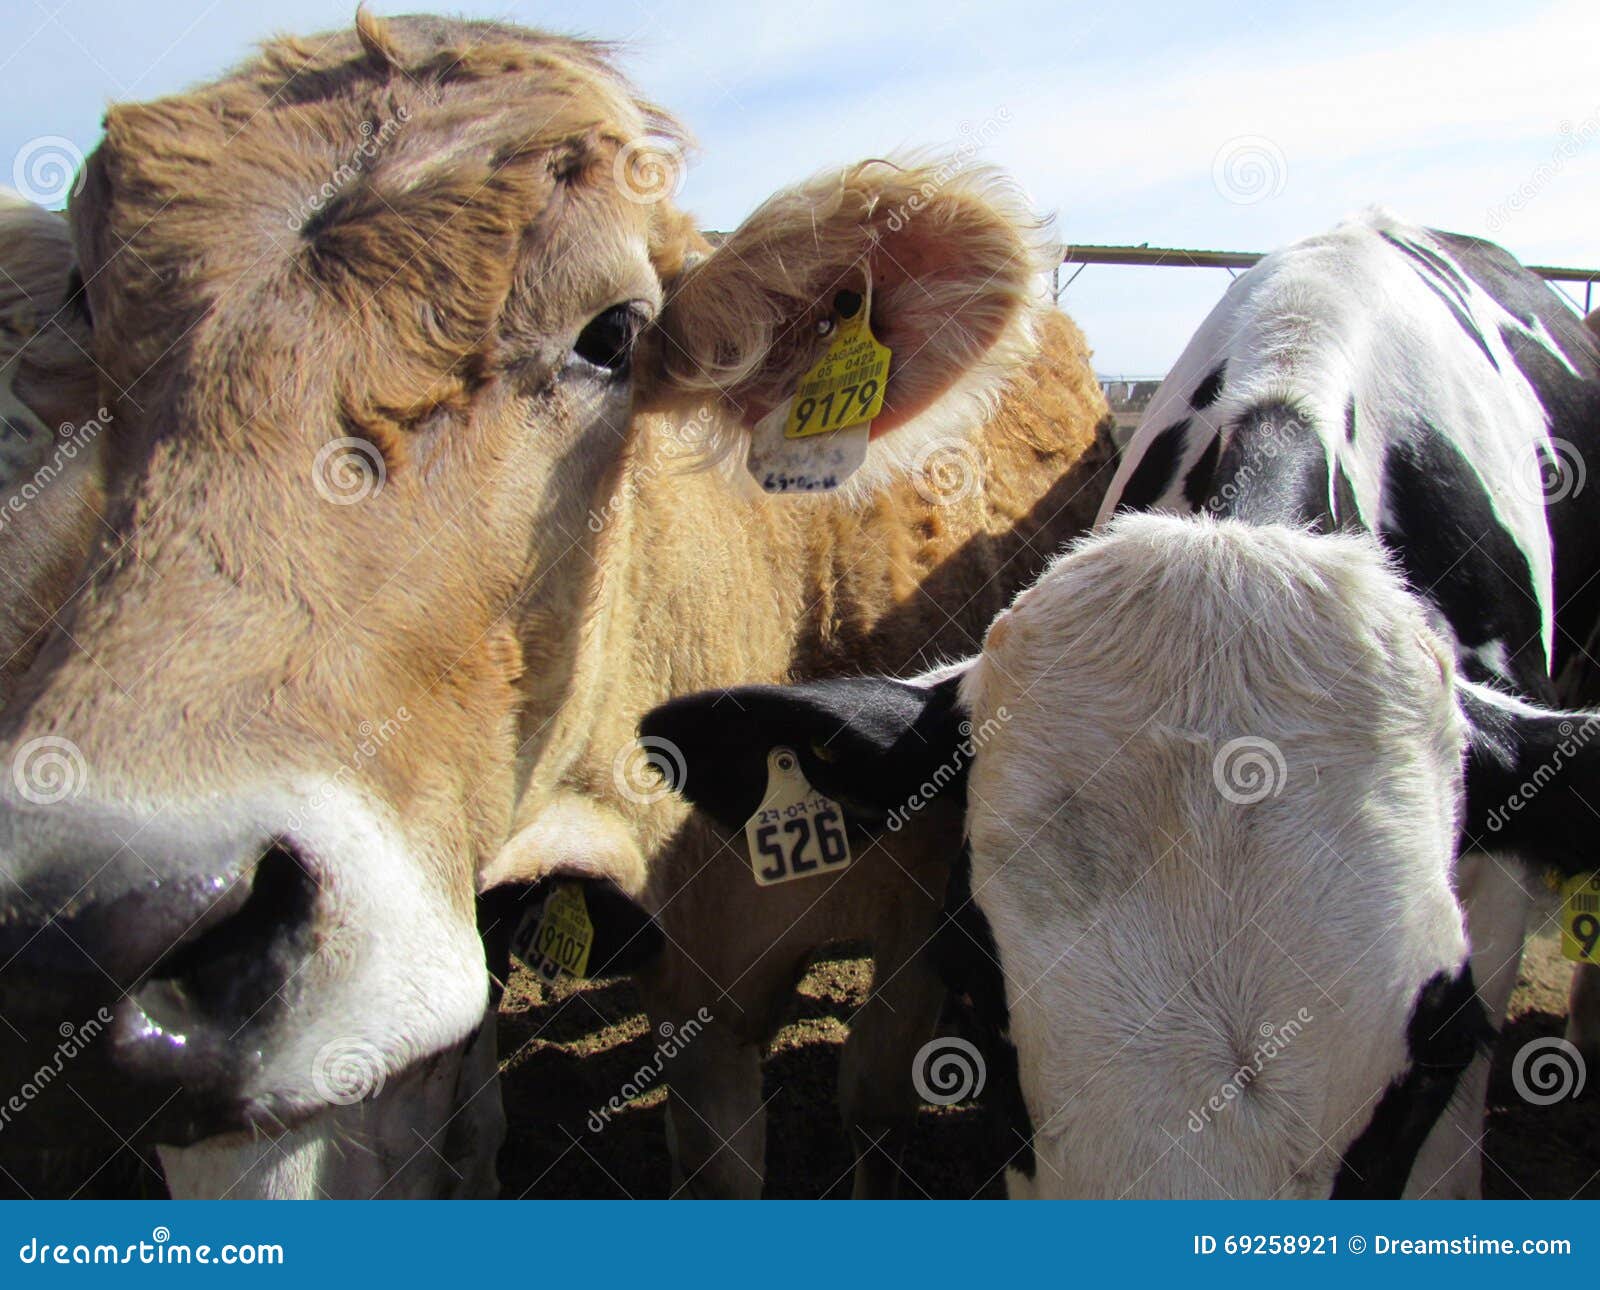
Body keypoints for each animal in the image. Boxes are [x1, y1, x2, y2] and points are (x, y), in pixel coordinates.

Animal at [0, 13, 1113, 1198]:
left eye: (612, 335)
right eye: (88, 321)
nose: (84, 938)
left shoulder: (914, 927)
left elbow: (868, 1108)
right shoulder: (672, 991)